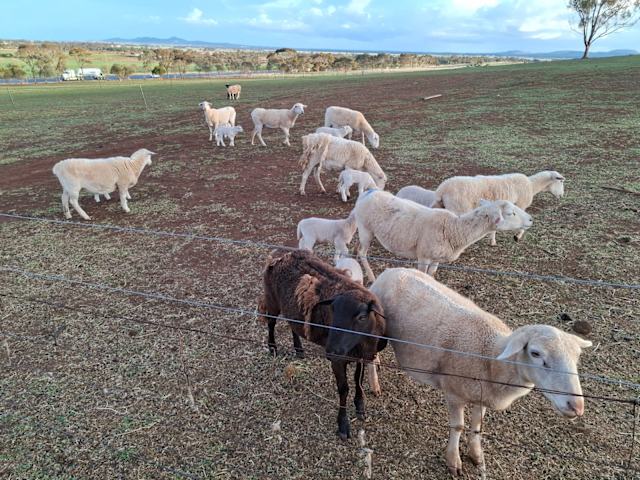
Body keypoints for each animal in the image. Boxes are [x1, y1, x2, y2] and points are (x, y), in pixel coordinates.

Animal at [257, 249, 387, 440]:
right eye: (333, 312)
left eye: (362, 317)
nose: (332, 350)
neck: (358, 345)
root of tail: (281, 254)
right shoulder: (338, 361)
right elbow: (343, 389)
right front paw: (343, 425)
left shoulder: (362, 355)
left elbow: (358, 380)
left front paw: (360, 407)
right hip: (272, 298)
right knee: (271, 322)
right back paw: (272, 348)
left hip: (292, 307)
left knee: (293, 325)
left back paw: (299, 350)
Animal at [353, 190, 532, 281]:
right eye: (510, 213)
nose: (531, 219)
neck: (454, 229)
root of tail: (367, 193)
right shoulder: (423, 256)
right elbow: (422, 274)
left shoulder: (437, 258)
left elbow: (431, 274)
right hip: (365, 228)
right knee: (362, 252)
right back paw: (371, 276)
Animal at [369, 268, 591, 476]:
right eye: (535, 353)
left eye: (577, 357)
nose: (576, 406)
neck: (491, 358)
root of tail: (391, 271)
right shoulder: (453, 393)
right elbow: (457, 427)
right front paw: (454, 461)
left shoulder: (482, 394)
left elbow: (477, 425)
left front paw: (476, 455)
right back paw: (375, 385)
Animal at [434, 171, 565, 246]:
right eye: (561, 182)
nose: (562, 195)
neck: (532, 185)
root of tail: (442, 189)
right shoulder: (521, 205)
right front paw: (517, 236)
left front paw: (492, 240)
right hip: (457, 208)